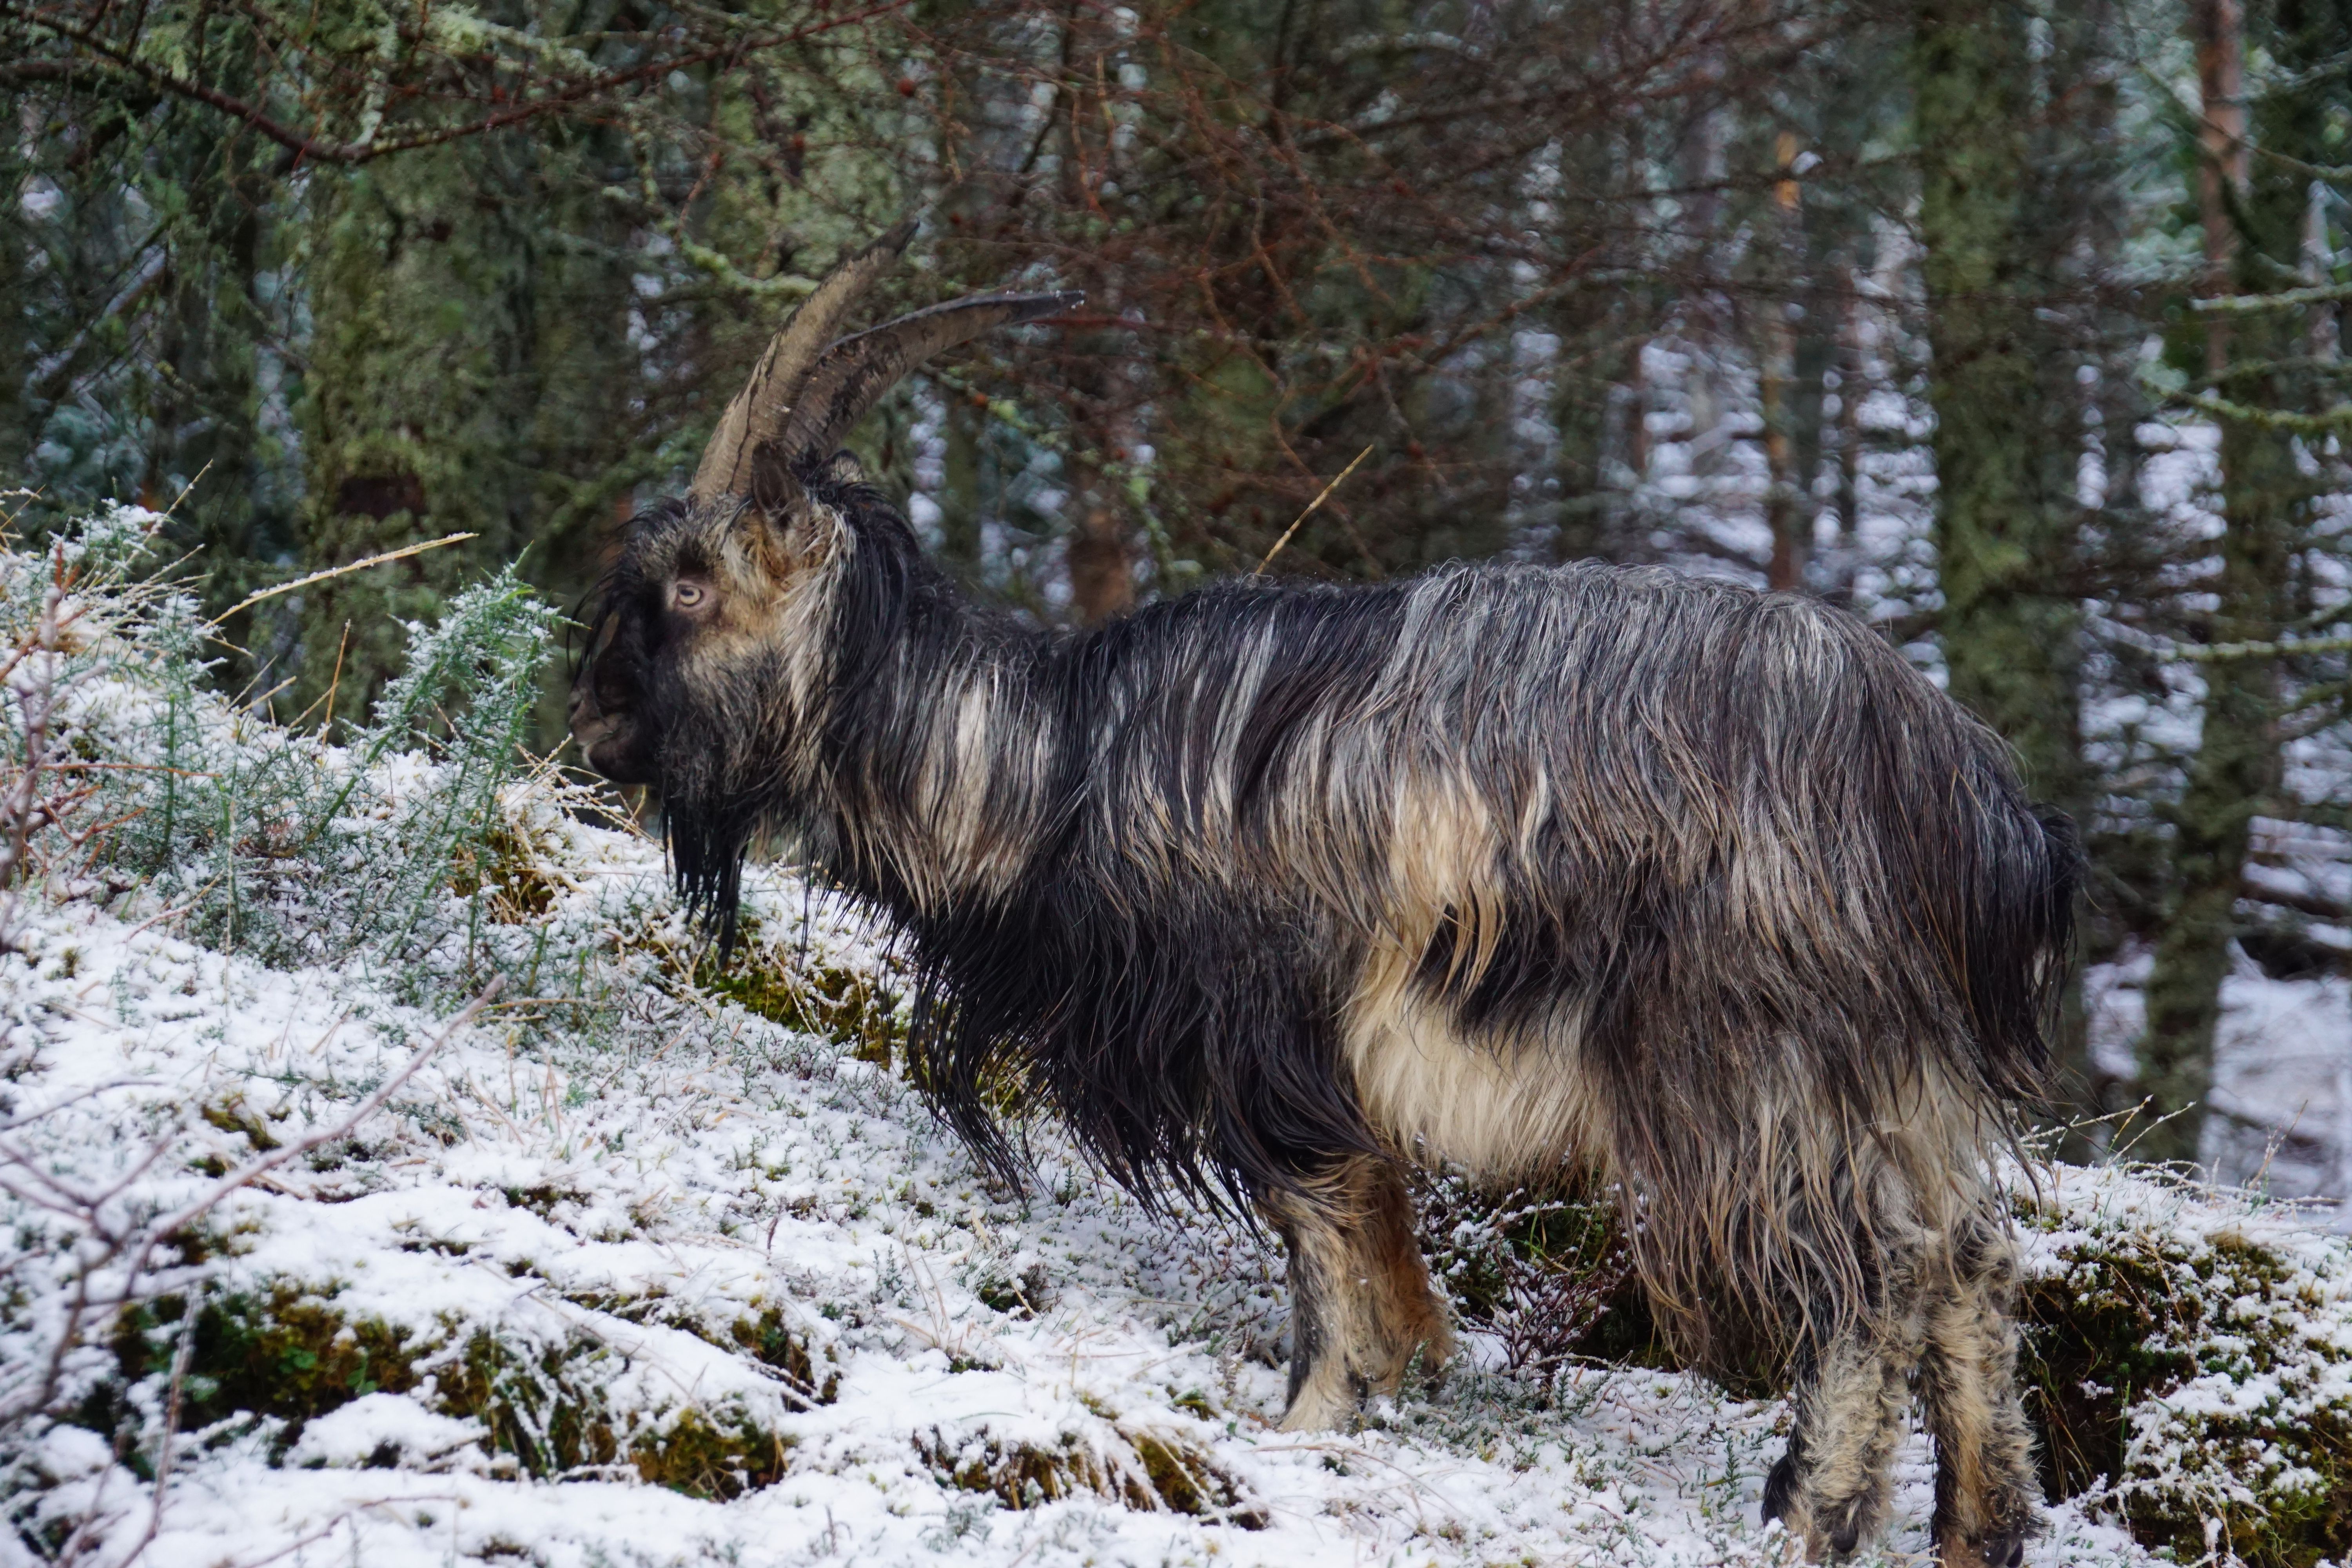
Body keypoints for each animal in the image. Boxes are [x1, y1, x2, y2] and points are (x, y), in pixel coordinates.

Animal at [570, 223, 2079, 1568]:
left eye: (689, 585)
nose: (592, 723)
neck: (1048, 770)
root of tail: (1957, 797)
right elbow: (1383, 1227)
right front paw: (1408, 1366)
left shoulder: (1269, 1035)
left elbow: (1320, 1234)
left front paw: (1308, 1418)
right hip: (1893, 1061)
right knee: (1969, 1253)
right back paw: (1979, 1530)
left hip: (1753, 1053)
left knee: (1873, 1274)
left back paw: (1813, 1521)